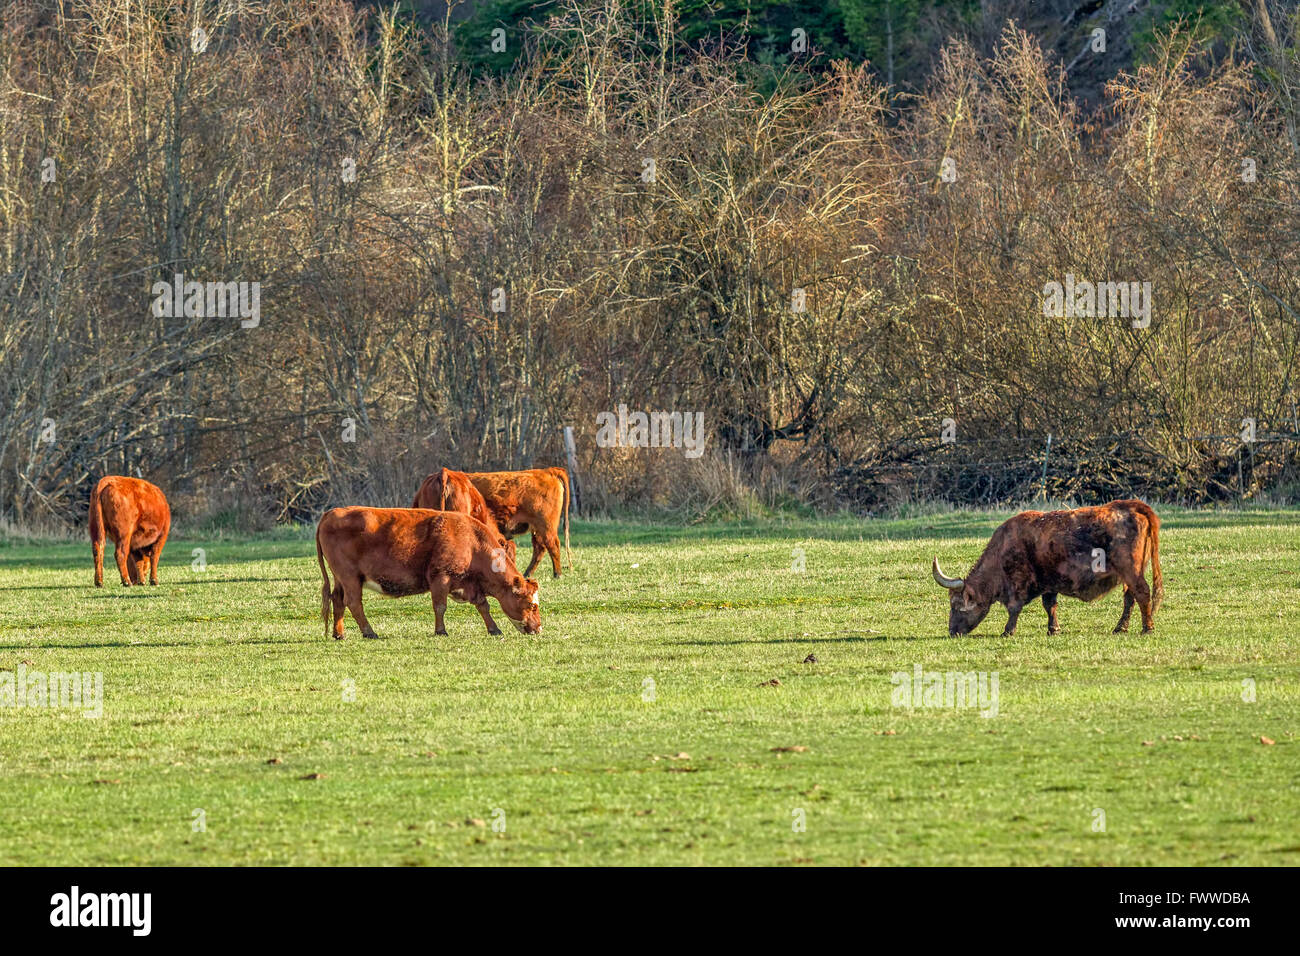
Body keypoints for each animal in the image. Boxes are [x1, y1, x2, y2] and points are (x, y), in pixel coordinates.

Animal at [315, 507, 540, 640]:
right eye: (532, 605)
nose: (538, 628)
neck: (471, 542)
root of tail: (331, 513)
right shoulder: (441, 577)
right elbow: (440, 607)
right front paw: (441, 630)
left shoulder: (470, 584)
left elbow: (483, 605)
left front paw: (494, 629)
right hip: (349, 576)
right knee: (353, 602)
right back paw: (369, 632)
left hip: (340, 578)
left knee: (338, 599)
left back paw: (339, 634)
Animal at [415, 467, 571, 579]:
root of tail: (548, 471)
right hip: (540, 527)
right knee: (542, 546)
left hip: (545, 526)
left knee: (550, 545)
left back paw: (556, 574)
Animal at [931, 499, 1163, 637]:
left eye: (954, 604)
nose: (952, 632)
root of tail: (1130, 505)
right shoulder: (1050, 583)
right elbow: (1050, 605)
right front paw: (1054, 629)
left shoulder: (1017, 583)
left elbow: (1014, 608)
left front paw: (1008, 631)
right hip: (1129, 574)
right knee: (1130, 598)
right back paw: (1120, 628)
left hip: (1131, 571)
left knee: (1142, 593)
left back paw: (1147, 628)